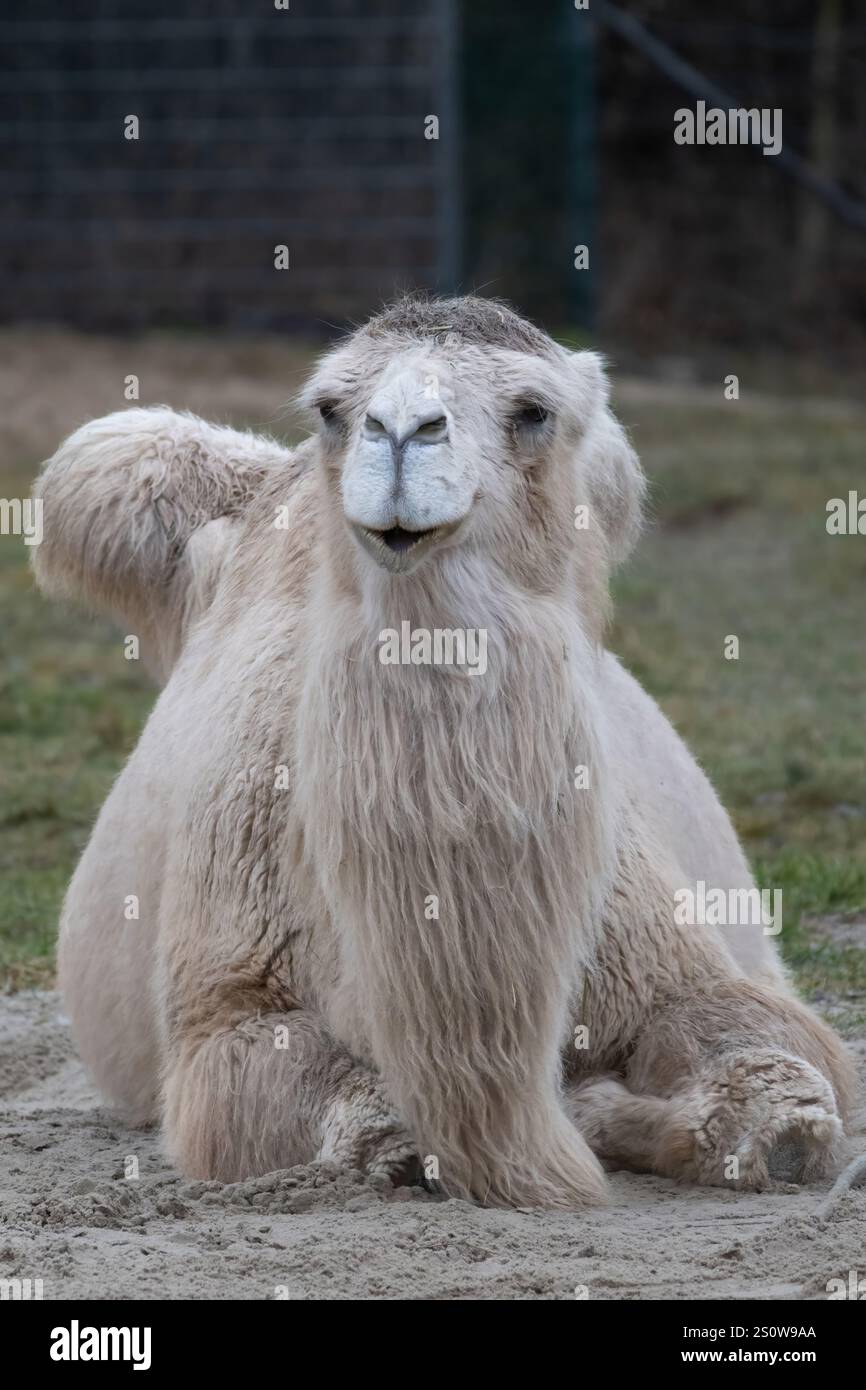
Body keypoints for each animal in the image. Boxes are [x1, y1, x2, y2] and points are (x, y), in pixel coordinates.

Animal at [32, 295, 855, 1207]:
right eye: (331, 407)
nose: (401, 433)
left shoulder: (667, 959)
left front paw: (646, 1121)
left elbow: (779, 1078)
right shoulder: (231, 999)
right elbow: (325, 1106)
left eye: (534, 411)